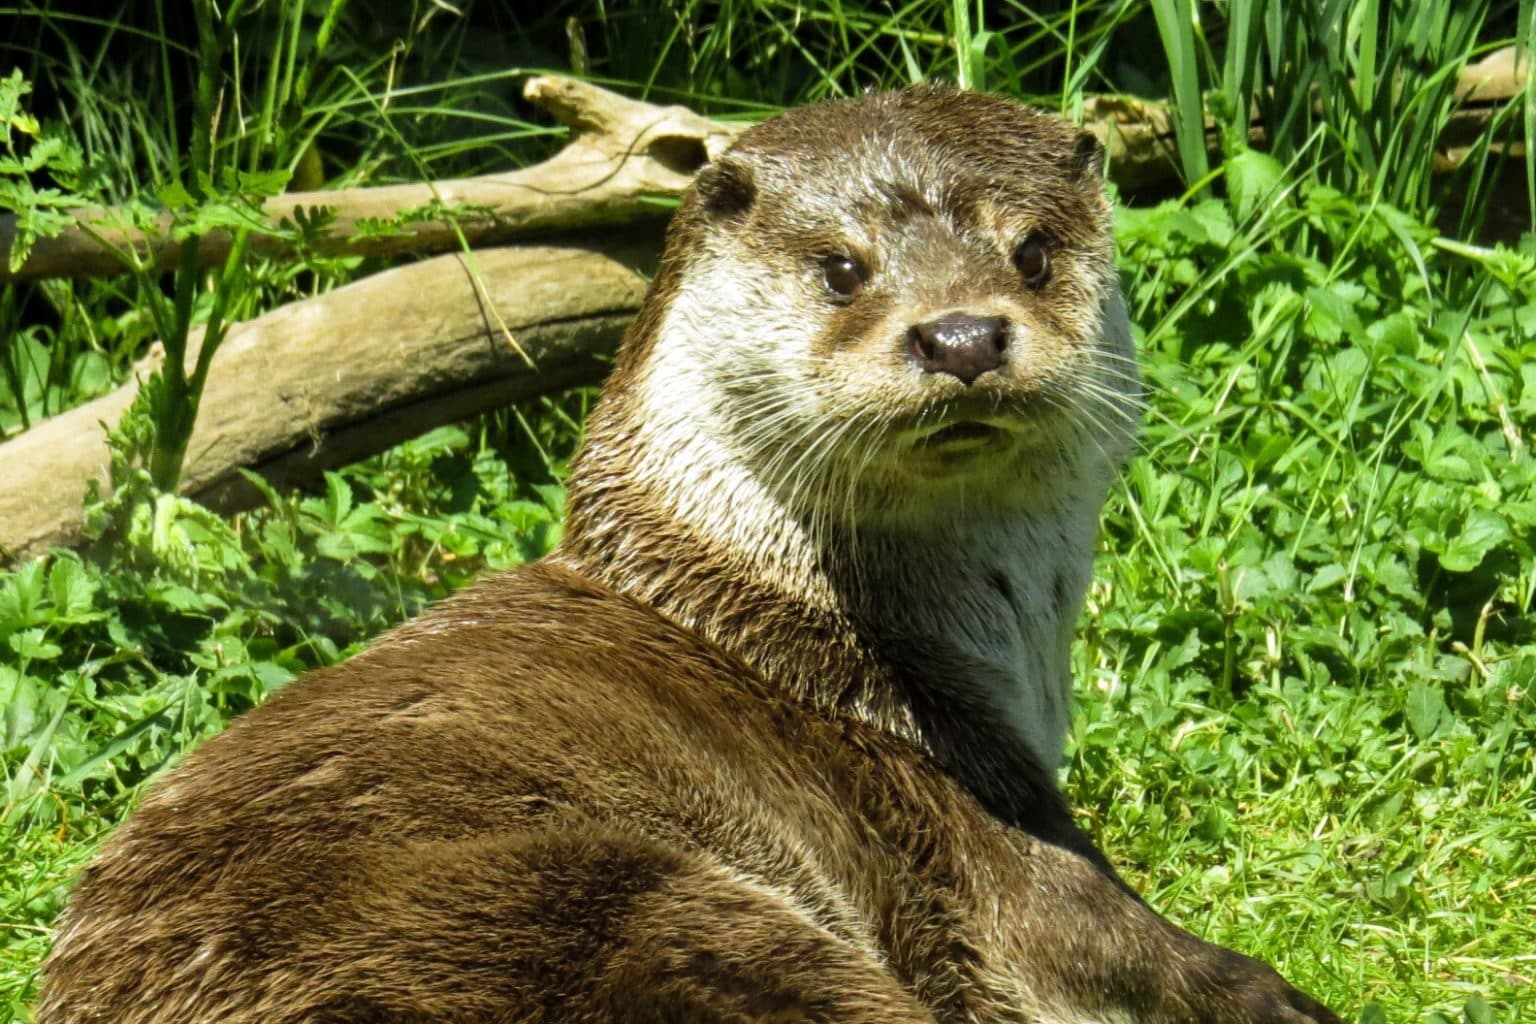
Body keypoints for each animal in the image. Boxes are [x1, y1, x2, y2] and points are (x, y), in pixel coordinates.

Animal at [38, 85, 1339, 1024]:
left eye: (1031, 253)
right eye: (843, 266)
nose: (962, 335)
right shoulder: (970, 821)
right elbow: (1116, 947)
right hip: (627, 911)